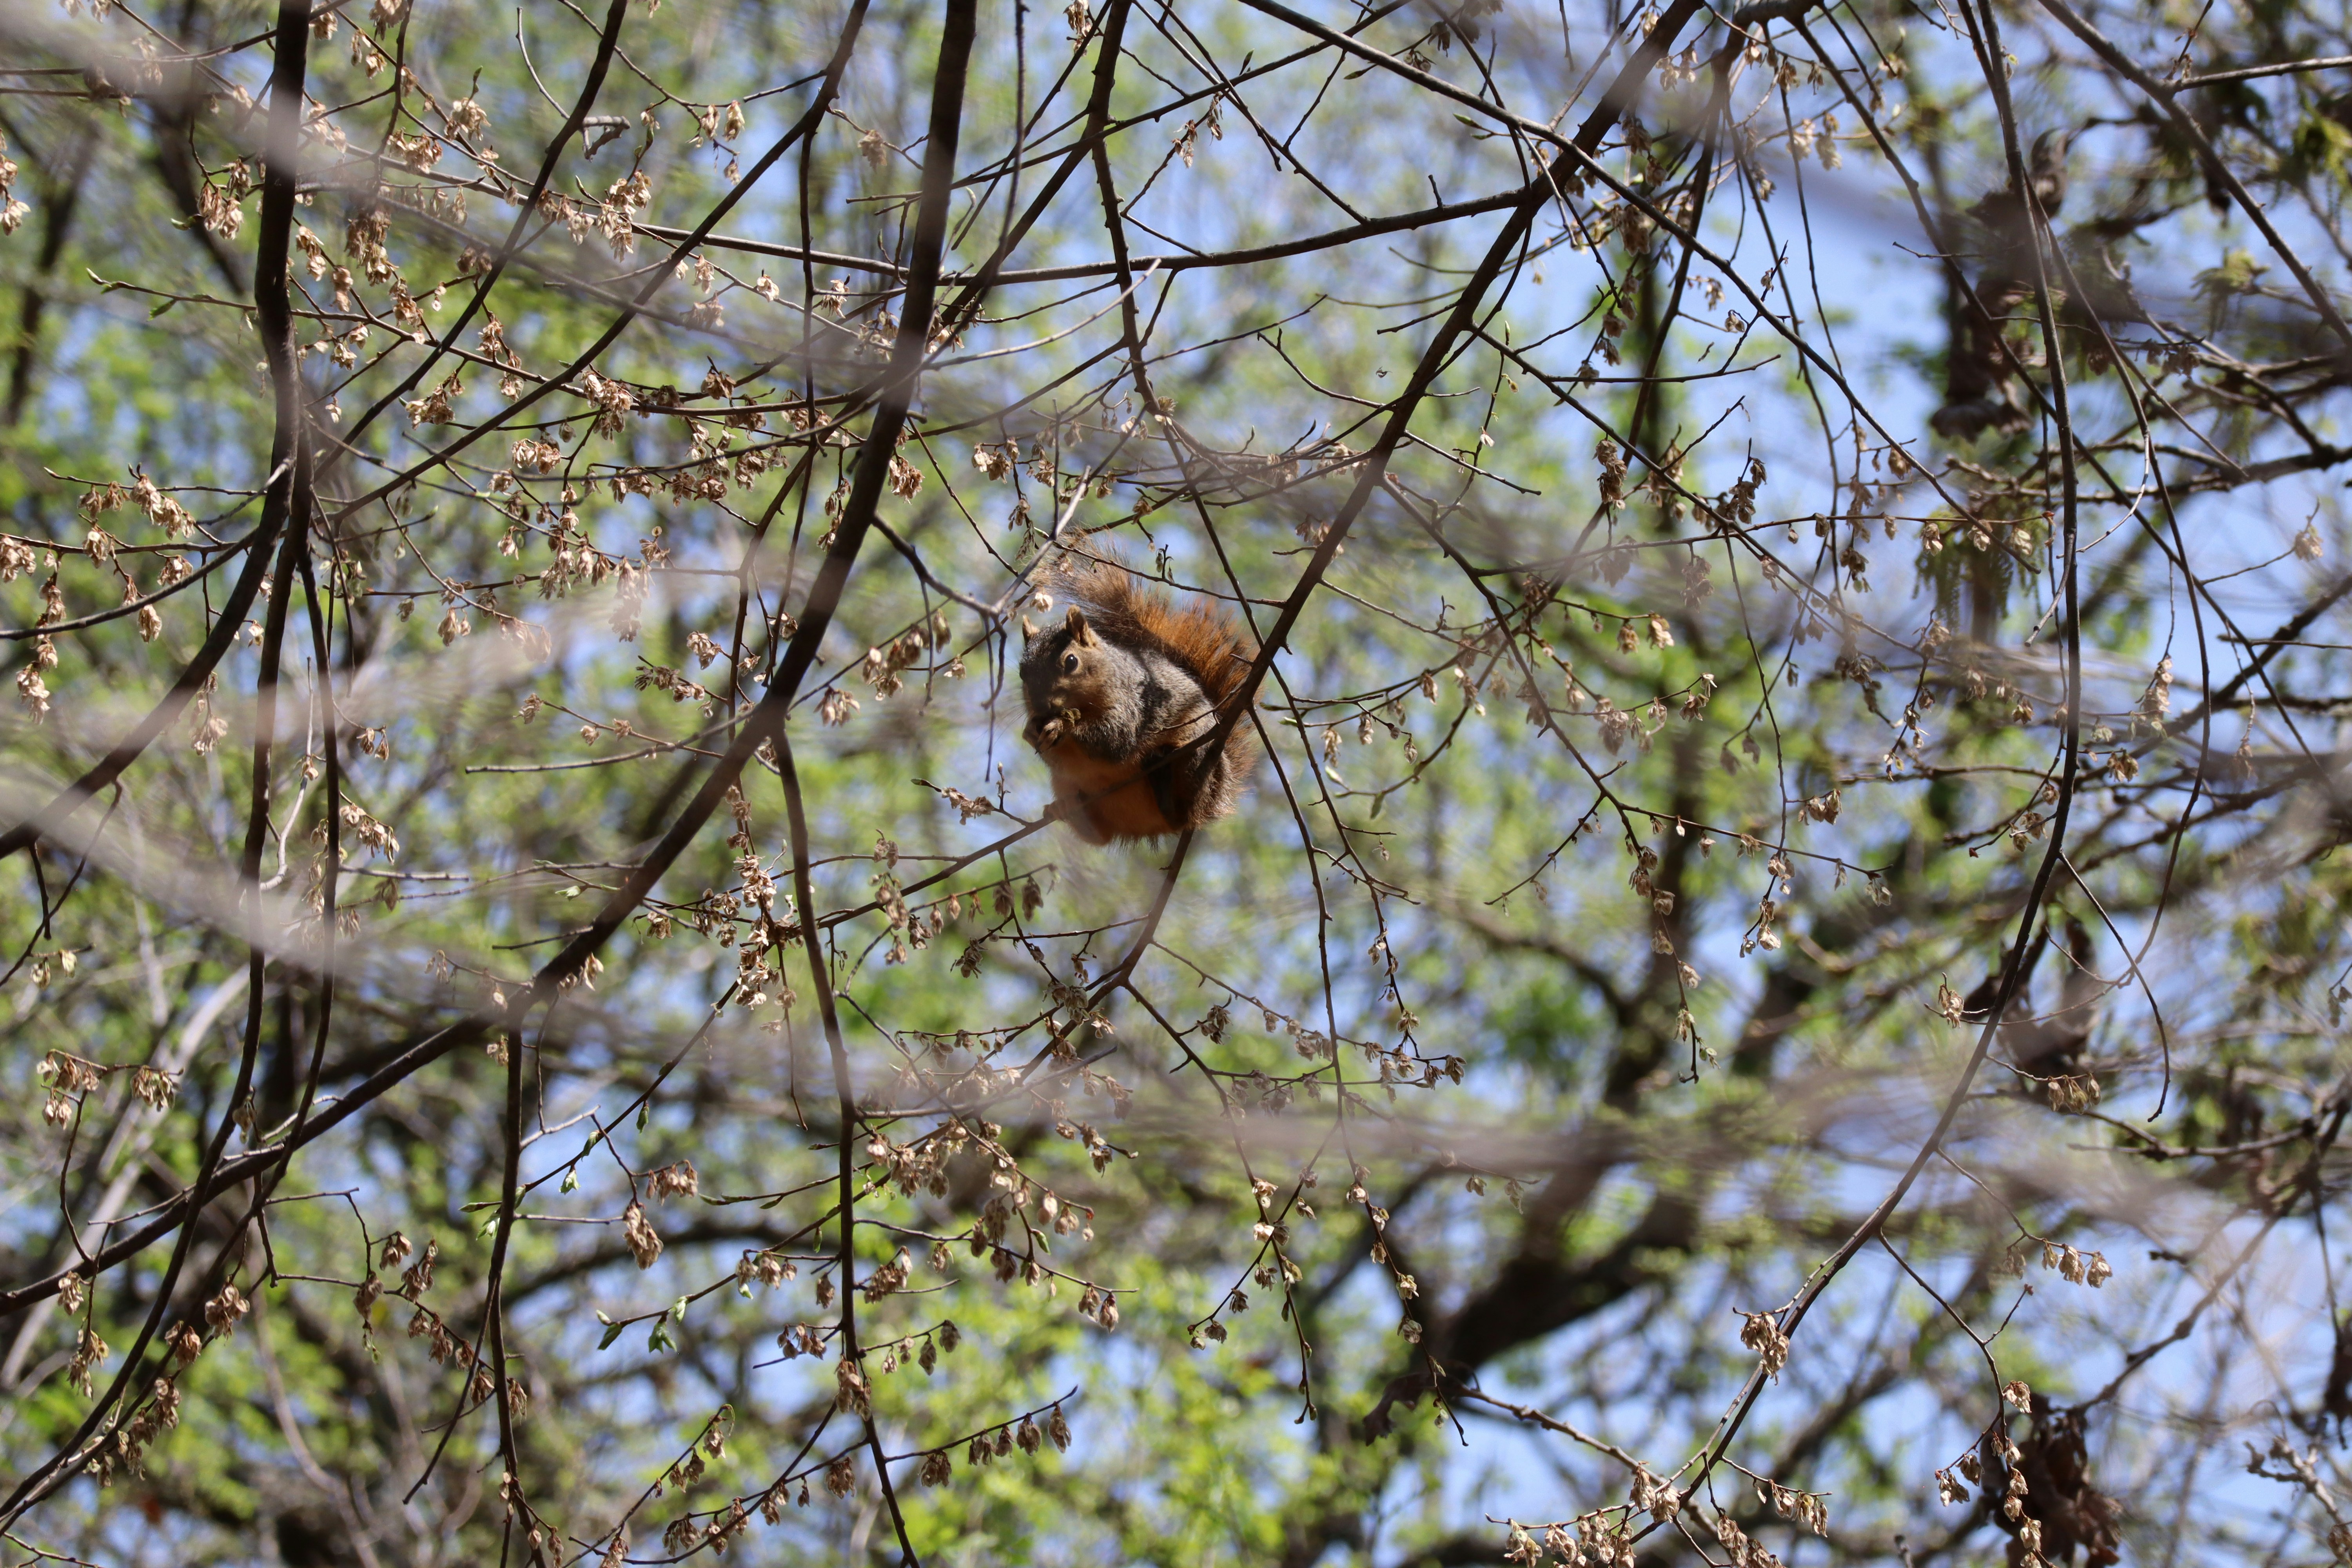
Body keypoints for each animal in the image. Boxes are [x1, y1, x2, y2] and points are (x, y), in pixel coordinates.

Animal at [1017, 560, 1259, 844]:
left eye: (1071, 662)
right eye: (1022, 674)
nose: (1042, 707)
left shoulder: (1132, 704)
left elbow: (1114, 740)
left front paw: (1062, 727)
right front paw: (1030, 732)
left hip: (1201, 757)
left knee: (1183, 811)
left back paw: (1163, 781)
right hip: (1066, 785)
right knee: (1098, 837)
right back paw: (1067, 807)